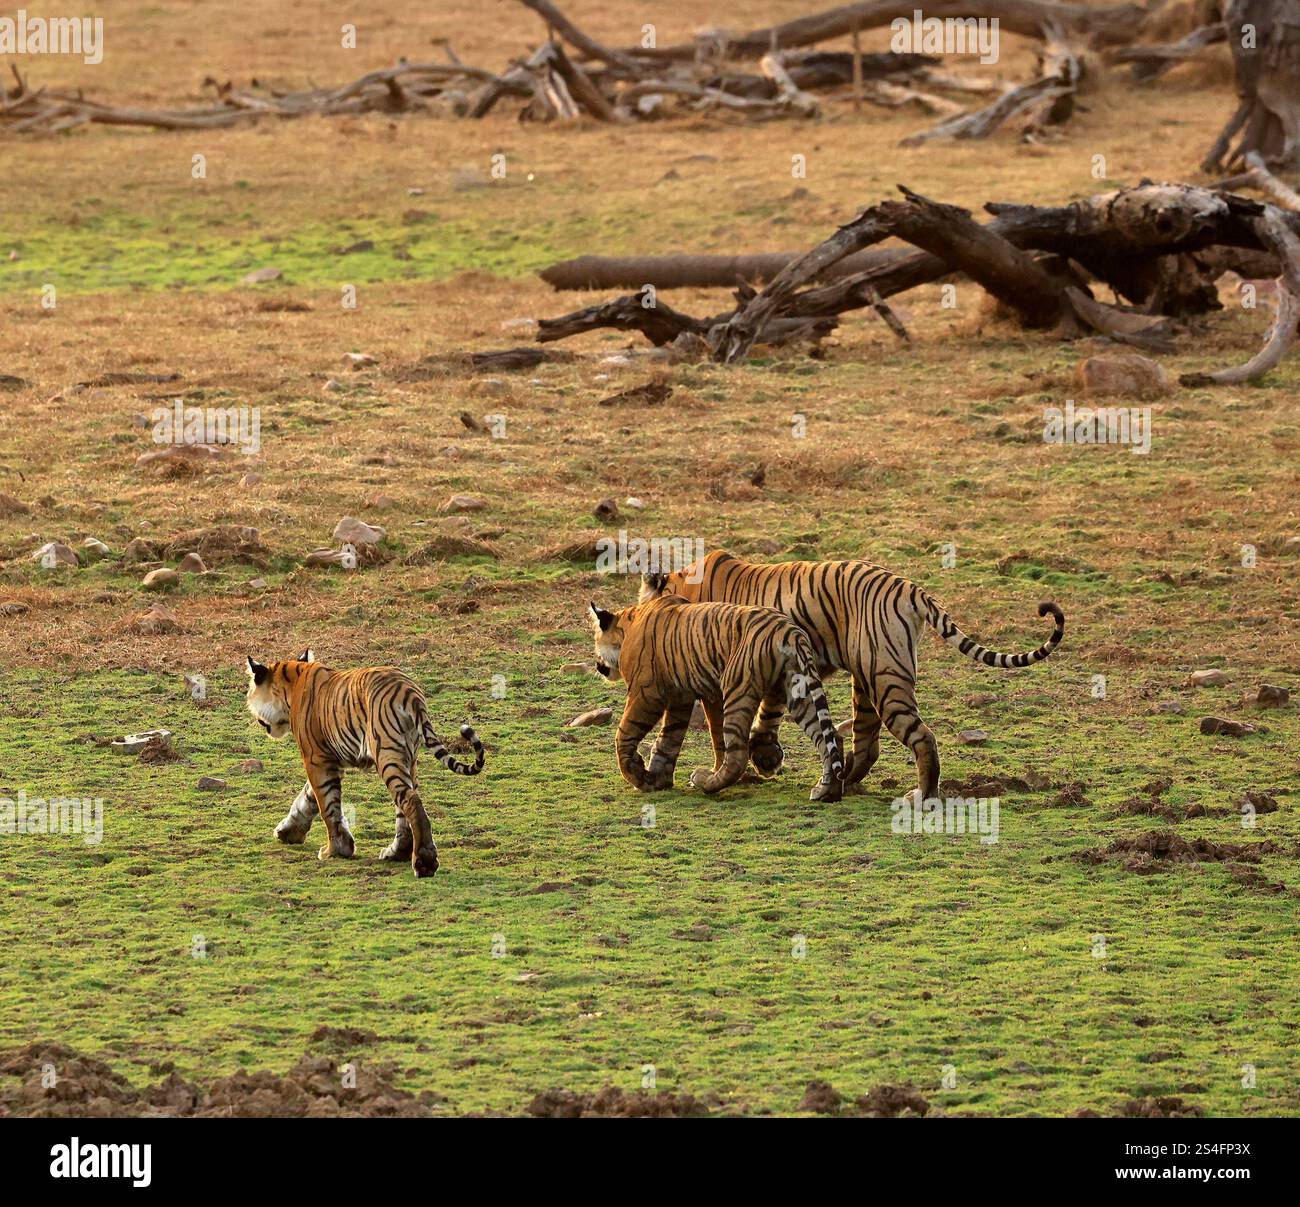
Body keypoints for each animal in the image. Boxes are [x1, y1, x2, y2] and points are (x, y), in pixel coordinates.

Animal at [244, 649, 485, 879]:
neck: (291, 684)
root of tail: (409, 691)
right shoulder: (329, 760)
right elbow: (308, 797)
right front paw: (287, 831)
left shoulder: (316, 758)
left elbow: (327, 805)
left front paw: (335, 850)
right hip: (408, 760)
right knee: (404, 807)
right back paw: (396, 853)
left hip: (387, 755)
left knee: (410, 800)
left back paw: (423, 862)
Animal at [588, 594, 845, 801]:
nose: (597, 666)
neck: (629, 624)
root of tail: (790, 630)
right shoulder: (680, 698)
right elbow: (669, 739)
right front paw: (657, 779)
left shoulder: (646, 693)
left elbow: (625, 733)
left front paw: (638, 776)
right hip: (800, 691)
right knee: (828, 737)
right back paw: (826, 790)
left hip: (736, 689)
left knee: (737, 756)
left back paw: (705, 781)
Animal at [639, 552, 1065, 806]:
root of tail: (911, 588)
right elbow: (768, 716)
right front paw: (767, 757)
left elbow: (720, 733)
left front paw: (736, 766)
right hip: (869, 678)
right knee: (867, 742)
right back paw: (841, 778)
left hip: (884, 679)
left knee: (921, 736)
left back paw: (920, 794)